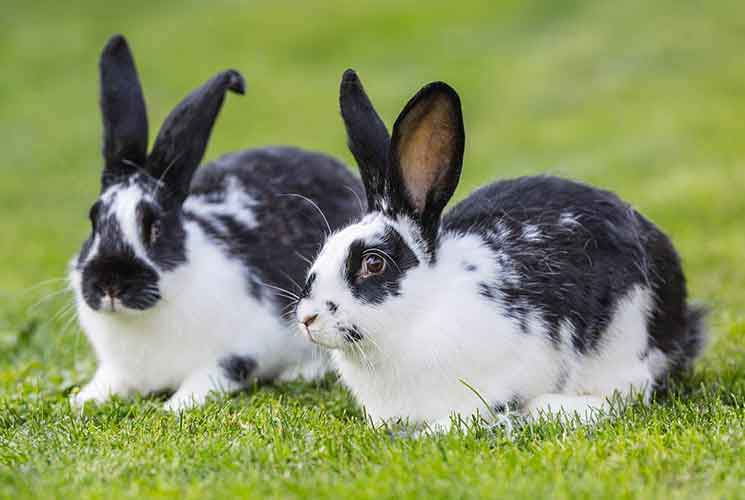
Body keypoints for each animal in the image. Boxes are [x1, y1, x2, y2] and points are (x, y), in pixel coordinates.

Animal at [69, 35, 364, 412]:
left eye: (155, 228)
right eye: (94, 221)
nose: (110, 284)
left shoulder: (236, 352)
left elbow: (209, 378)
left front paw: (173, 408)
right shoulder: (118, 369)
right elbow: (107, 383)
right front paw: (82, 400)